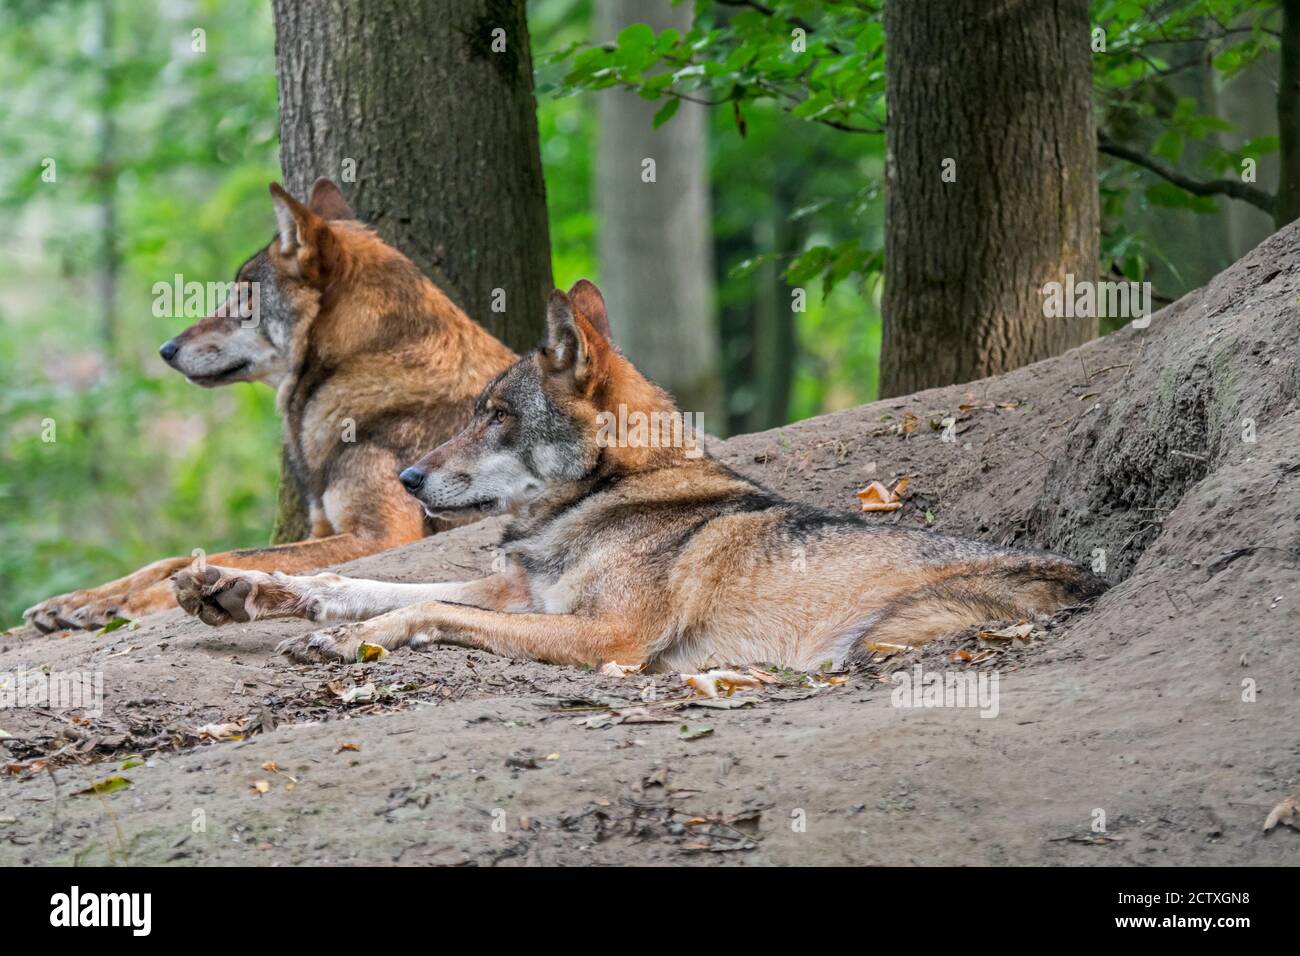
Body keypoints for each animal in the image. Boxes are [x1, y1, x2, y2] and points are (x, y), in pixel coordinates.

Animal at [23, 179, 516, 632]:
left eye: (245, 295)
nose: (166, 349)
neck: (365, 371)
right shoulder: (324, 528)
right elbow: (170, 558)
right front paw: (78, 600)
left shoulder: (381, 535)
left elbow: (231, 554)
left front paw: (139, 601)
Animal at [171, 280, 1106, 672]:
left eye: (497, 415)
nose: (405, 477)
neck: (609, 495)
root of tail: (1092, 581)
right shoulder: (520, 595)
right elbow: (364, 585)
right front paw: (239, 588)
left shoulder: (606, 636)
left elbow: (426, 607)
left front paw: (346, 639)